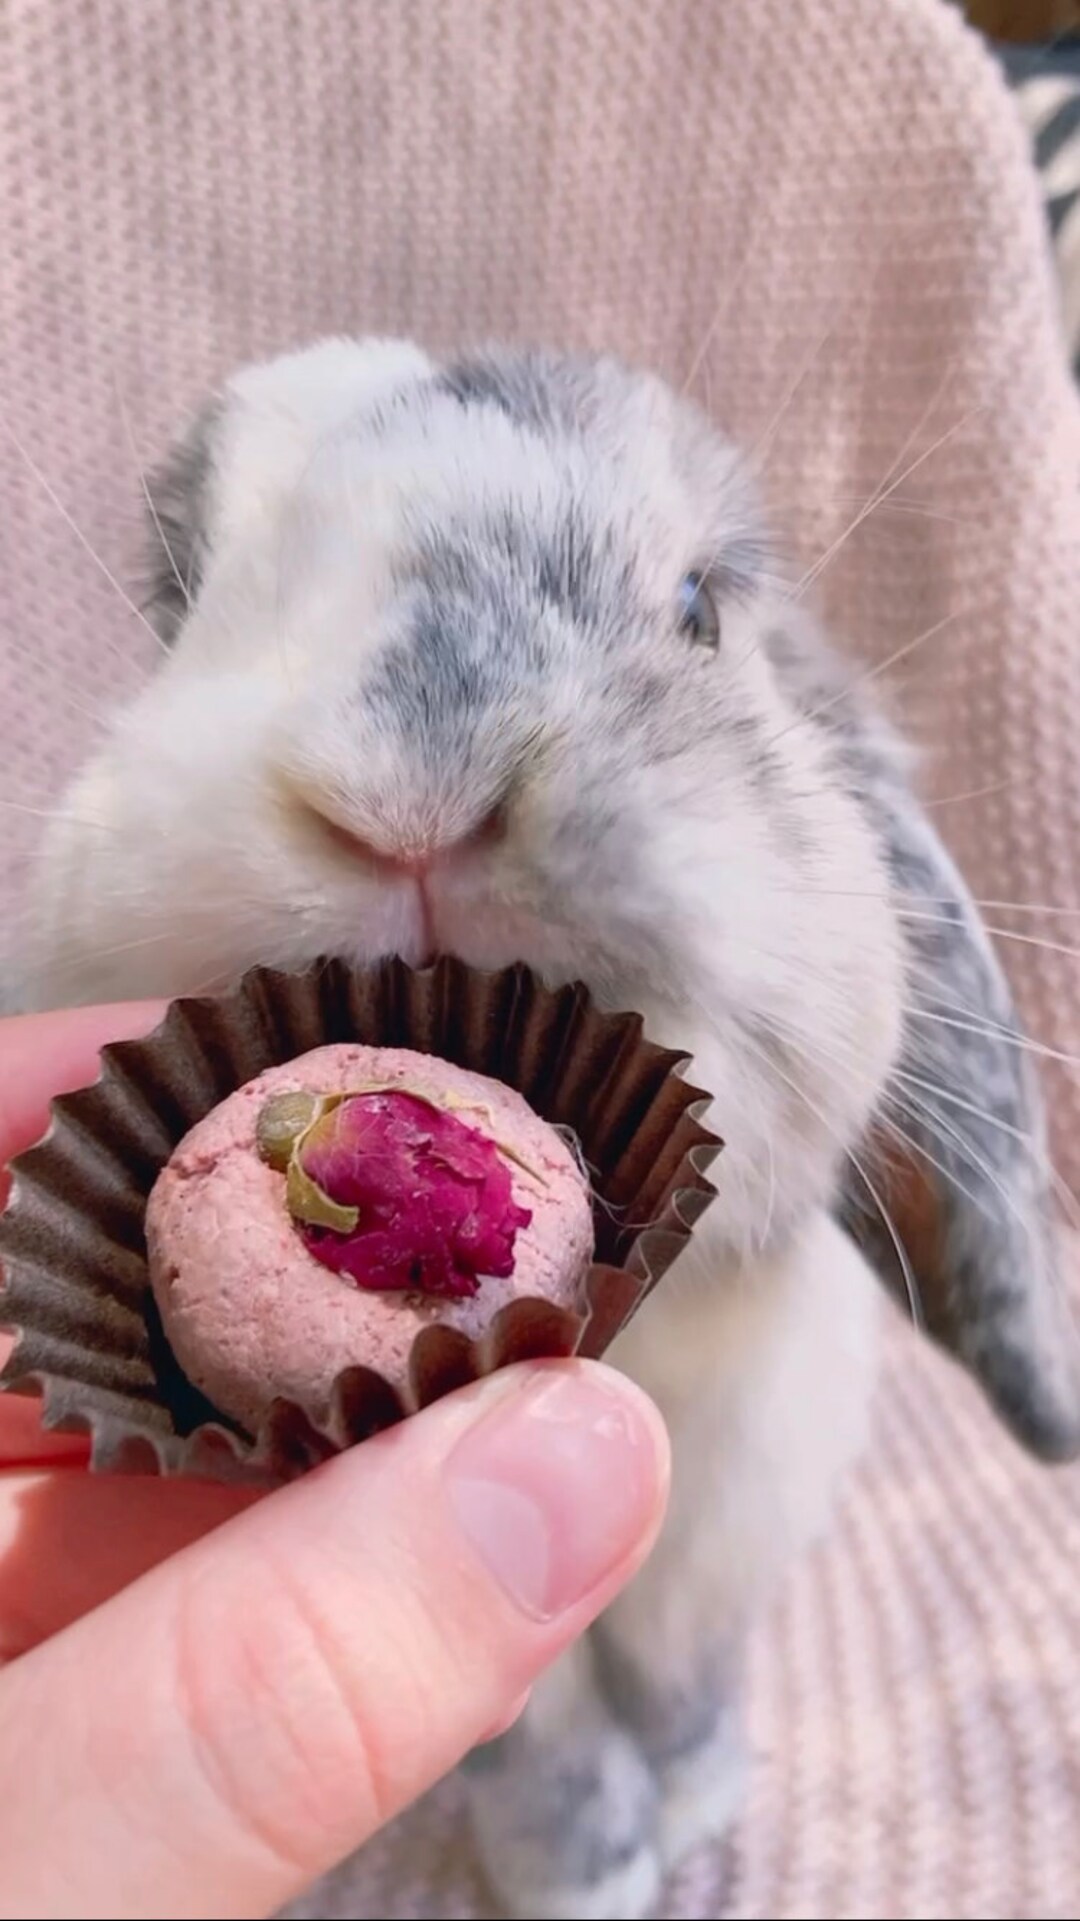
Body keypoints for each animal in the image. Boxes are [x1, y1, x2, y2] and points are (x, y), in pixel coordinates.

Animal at [22, 337, 1080, 1921]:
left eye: (704, 609)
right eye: (182, 603)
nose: (408, 792)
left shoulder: (729, 1540)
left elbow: (679, 1680)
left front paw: (698, 1797)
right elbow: (548, 1746)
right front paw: (588, 1873)